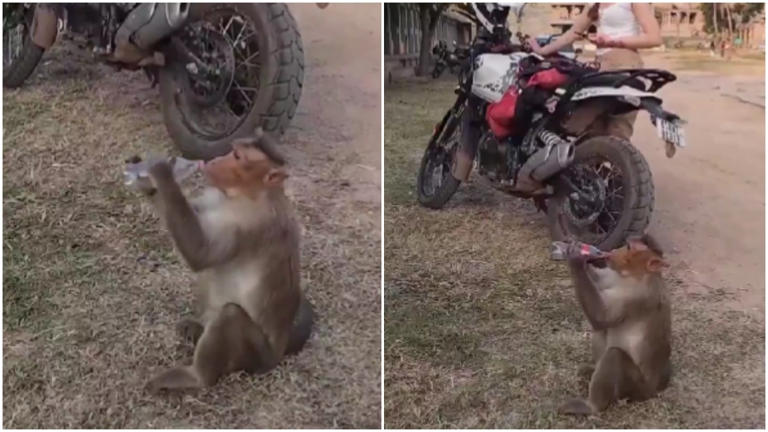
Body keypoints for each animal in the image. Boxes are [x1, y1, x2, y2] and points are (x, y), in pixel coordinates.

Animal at [140, 128, 314, 393]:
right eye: (232, 150)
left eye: (237, 156)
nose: (214, 160)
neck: (244, 194)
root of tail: (278, 352)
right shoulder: (215, 198)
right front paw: (147, 182)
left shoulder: (251, 223)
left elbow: (201, 253)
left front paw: (161, 172)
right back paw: (198, 328)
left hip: (255, 354)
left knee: (230, 314)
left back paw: (196, 377)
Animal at [559, 234, 671, 415]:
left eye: (629, 247)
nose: (614, 250)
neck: (632, 276)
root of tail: (652, 390)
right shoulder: (614, 275)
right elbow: (600, 280)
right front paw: (577, 248)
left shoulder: (635, 297)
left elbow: (601, 317)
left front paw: (576, 258)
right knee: (602, 333)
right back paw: (591, 369)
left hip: (635, 386)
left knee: (614, 355)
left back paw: (591, 406)